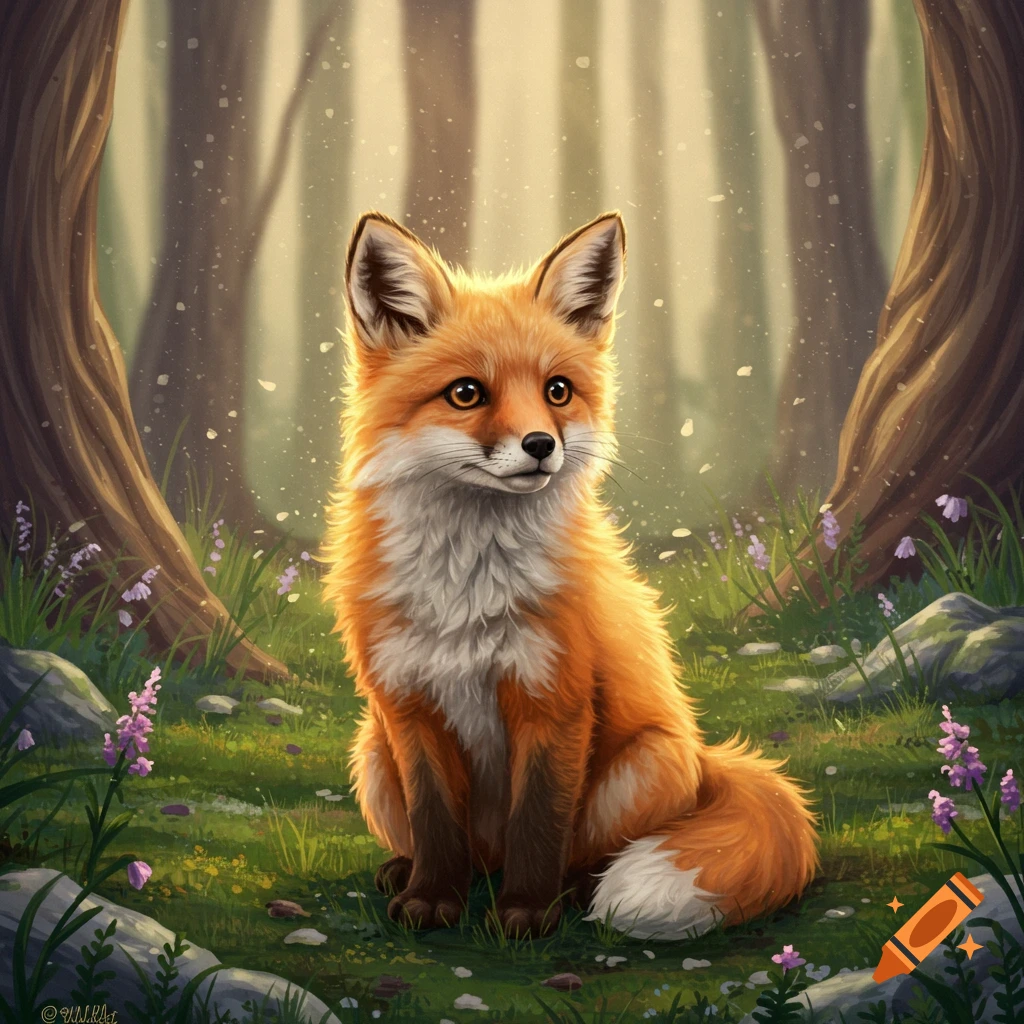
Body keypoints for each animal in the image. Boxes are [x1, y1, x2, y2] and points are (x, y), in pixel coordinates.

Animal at [322, 210, 818, 939]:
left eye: (557, 391)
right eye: (466, 393)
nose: (540, 446)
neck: (467, 587)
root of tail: (707, 759)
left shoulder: (554, 700)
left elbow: (540, 823)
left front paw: (528, 913)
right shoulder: (408, 706)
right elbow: (435, 822)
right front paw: (431, 900)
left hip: (641, 767)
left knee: (587, 850)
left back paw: (578, 889)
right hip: (371, 750)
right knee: (463, 850)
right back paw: (408, 870)